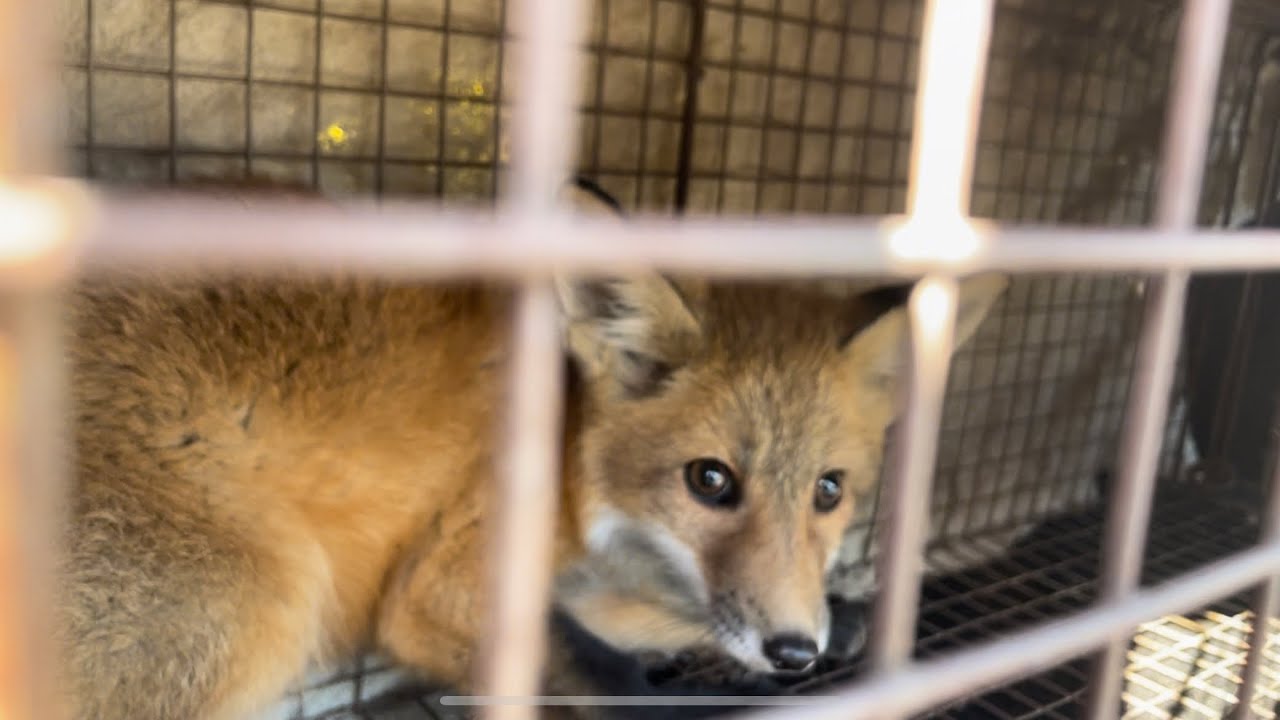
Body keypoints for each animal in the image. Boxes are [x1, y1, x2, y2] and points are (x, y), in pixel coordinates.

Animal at [53, 176, 1008, 720]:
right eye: (710, 481)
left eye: (829, 491)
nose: (794, 653)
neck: (564, 431)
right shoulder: (442, 587)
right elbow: (603, 673)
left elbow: (649, 615)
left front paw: (842, 617)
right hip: (265, 599)